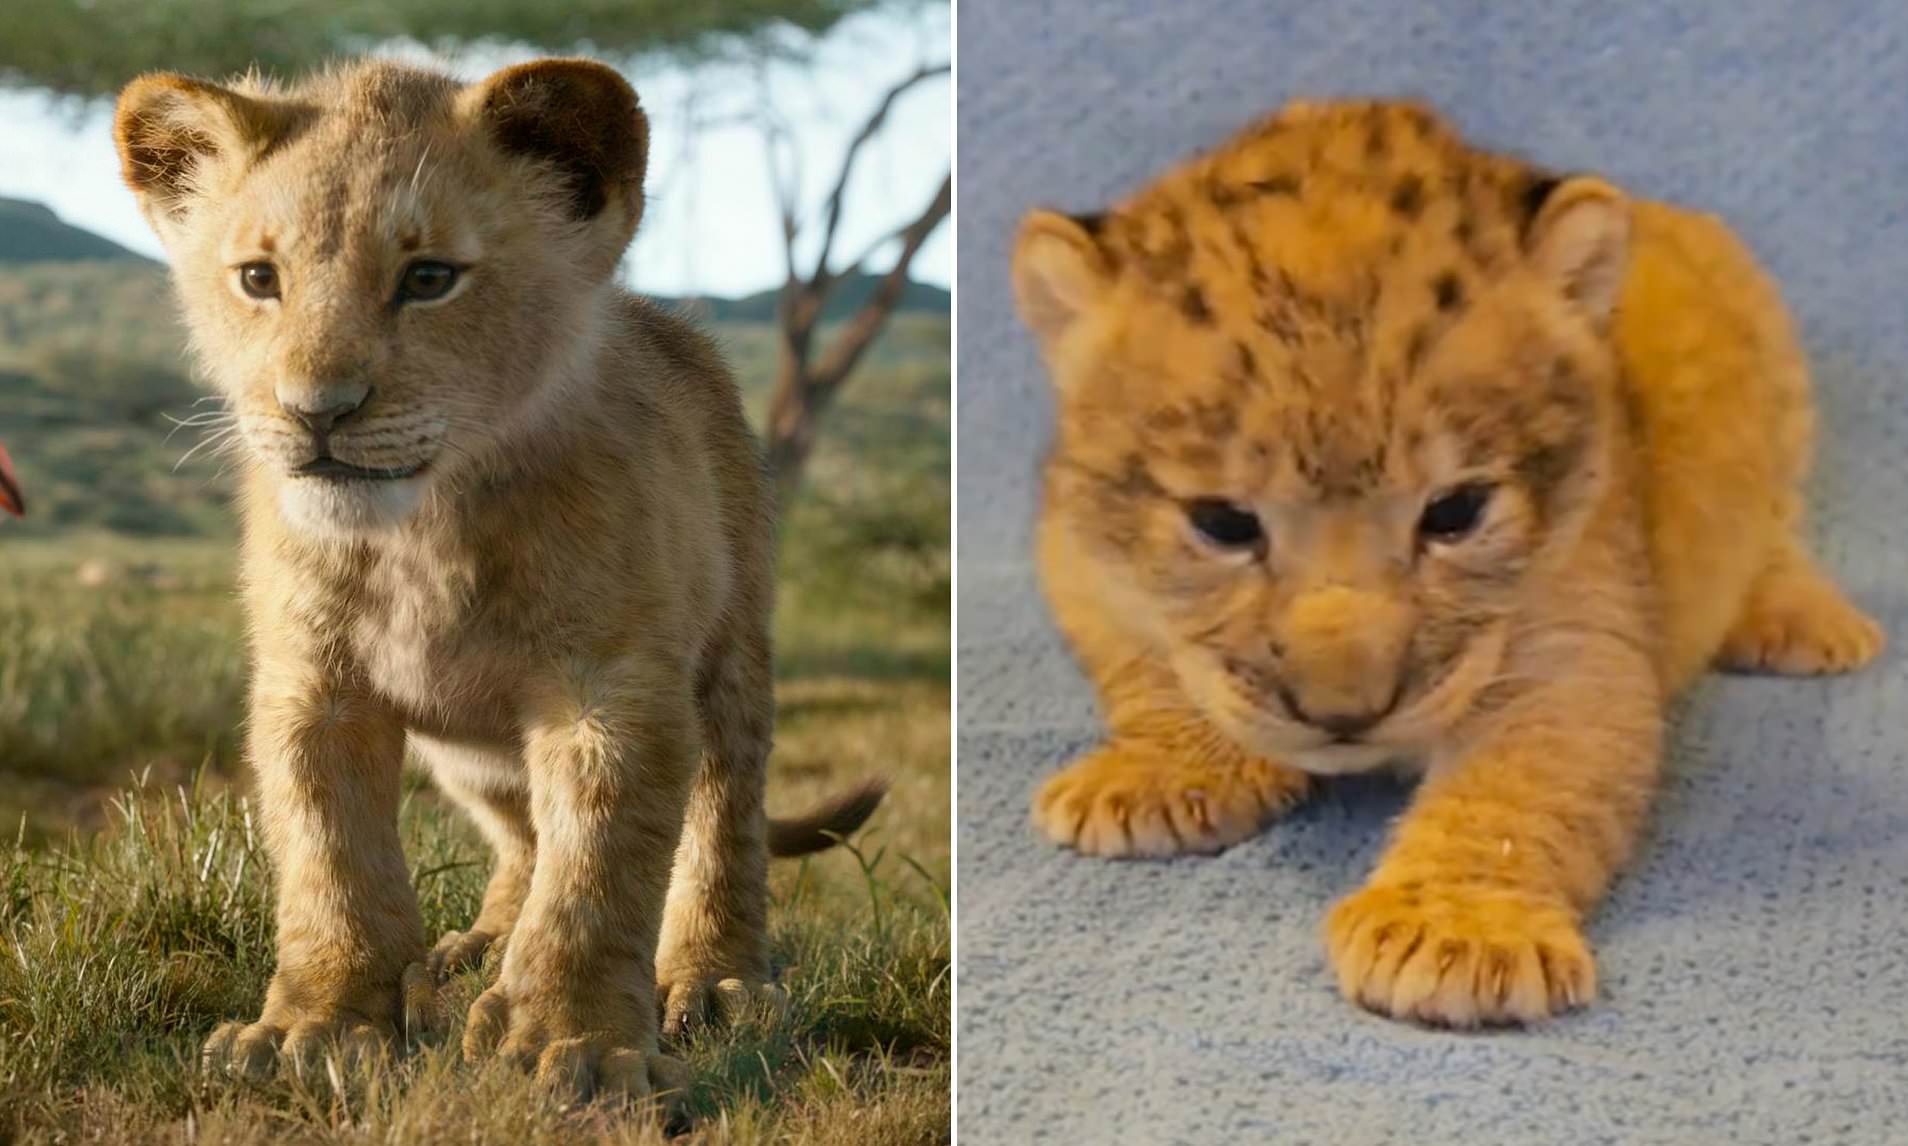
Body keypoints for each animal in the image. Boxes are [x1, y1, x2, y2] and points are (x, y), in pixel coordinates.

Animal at [113, 57, 883, 1100]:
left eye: (429, 278)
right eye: (259, 279)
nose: (316, 412)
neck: (421, 535)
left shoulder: (611, 689)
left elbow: (597, 872)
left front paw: (577, 1043)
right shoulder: (312, 688)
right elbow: (330, 858)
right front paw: (316, 1027)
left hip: (732, 655)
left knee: (724, 815)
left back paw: (715, 980)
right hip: (469, 753)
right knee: (522, 836)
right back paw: (474, 949)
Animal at [1010, 100, 1882, 1026]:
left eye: (1456, 513)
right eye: (1222, 521)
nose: (1345, 713)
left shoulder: (1578, 636)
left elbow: (1515, 789)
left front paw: (1457, 935)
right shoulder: (1071, 551)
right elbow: (1146, 666)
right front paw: (1159, 777)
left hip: (1775, 367)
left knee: (1780, 517)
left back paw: (1803, 621)